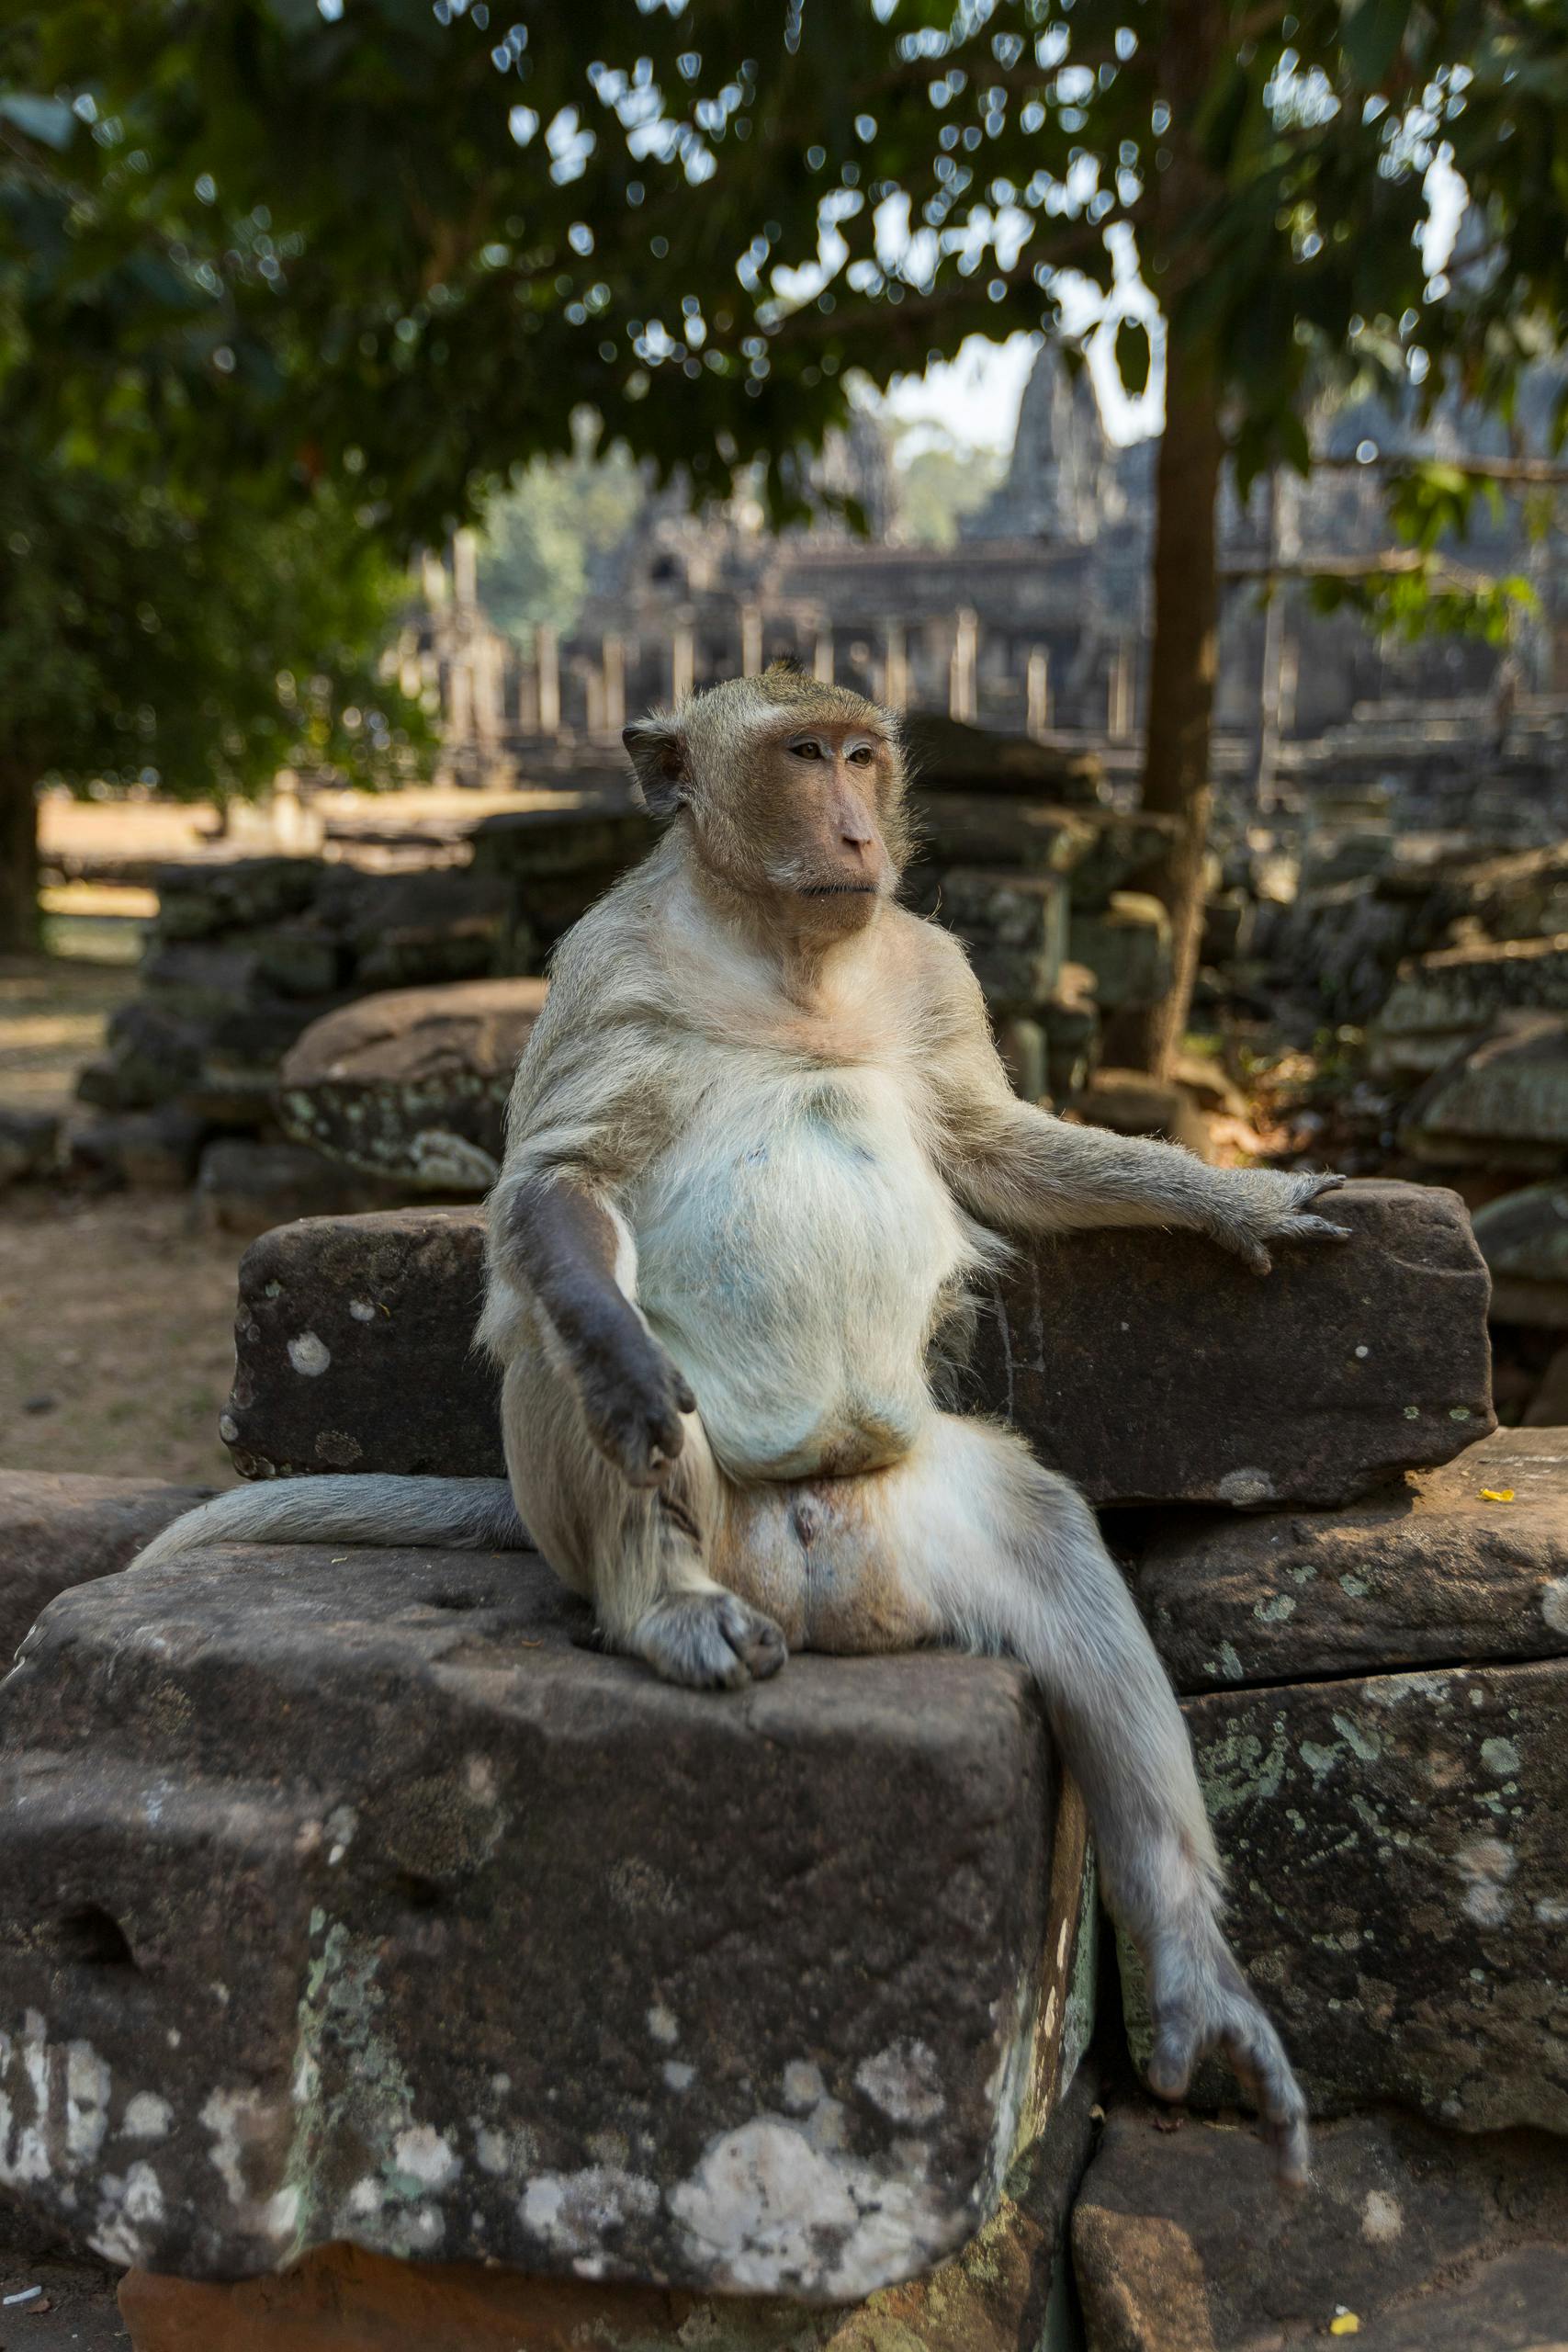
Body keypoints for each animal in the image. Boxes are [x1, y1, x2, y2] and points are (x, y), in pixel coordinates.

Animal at [127, 663, 1351, 2186]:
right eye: (800, 757)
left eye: (862, 756)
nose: (855, 830)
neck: (788, 955)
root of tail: (815, 1580)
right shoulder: (600, 966)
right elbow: (553, 1187)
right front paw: (613, 1352)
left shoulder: (933, 973)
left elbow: (999, 1144)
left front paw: (1231, 1199)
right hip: (674, 1508)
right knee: (564, 1359)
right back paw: (663, 1599)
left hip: (914, 1514)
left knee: (1057, 1556)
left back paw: (1187, 1972)